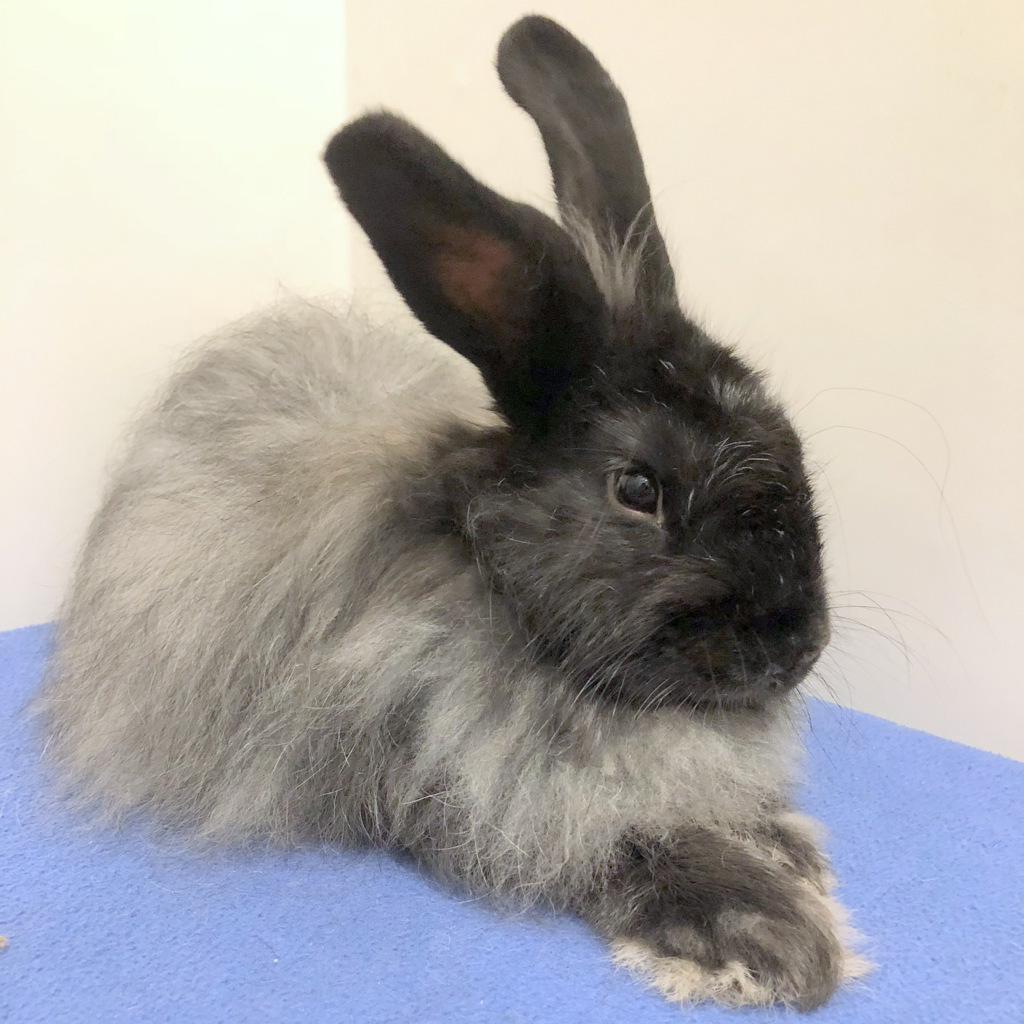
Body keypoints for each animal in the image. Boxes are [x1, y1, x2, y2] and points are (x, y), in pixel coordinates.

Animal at [37, 14, 869, 1012]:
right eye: (638, 489)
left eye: (790, 443)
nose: (798, 646)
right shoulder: (463, 793)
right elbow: (630, 847)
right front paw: (769, 937)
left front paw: (790, 849)